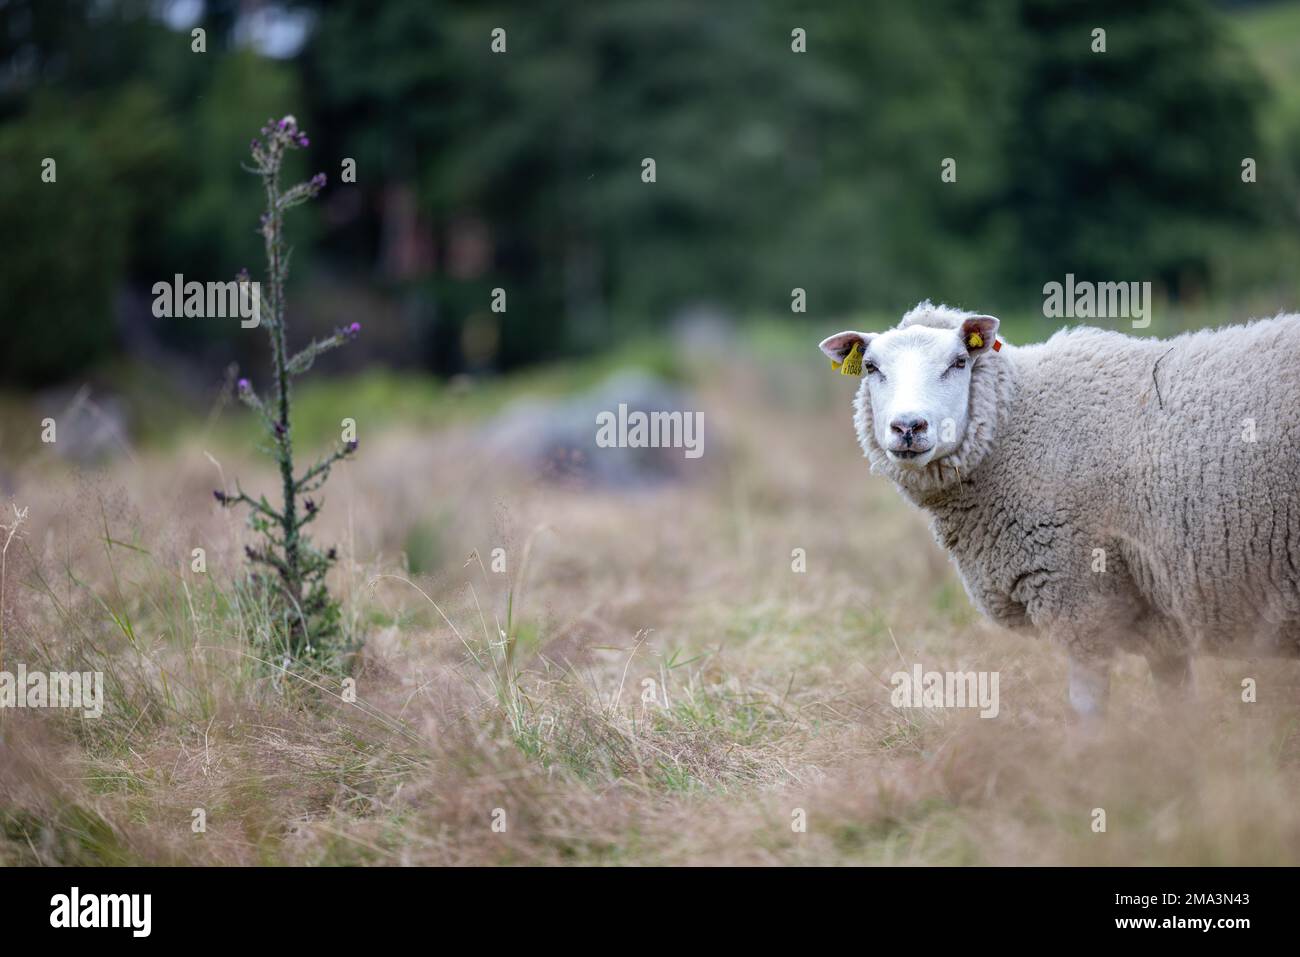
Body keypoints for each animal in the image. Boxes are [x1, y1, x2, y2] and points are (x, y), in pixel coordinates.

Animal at [819, 301, 1300, 717]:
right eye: (871, 368)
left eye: (958, 362)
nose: (907, 427)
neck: (1017, 425)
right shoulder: (1162, 619)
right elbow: (1177, 704)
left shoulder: (1079, 595)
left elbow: (1087, 708)